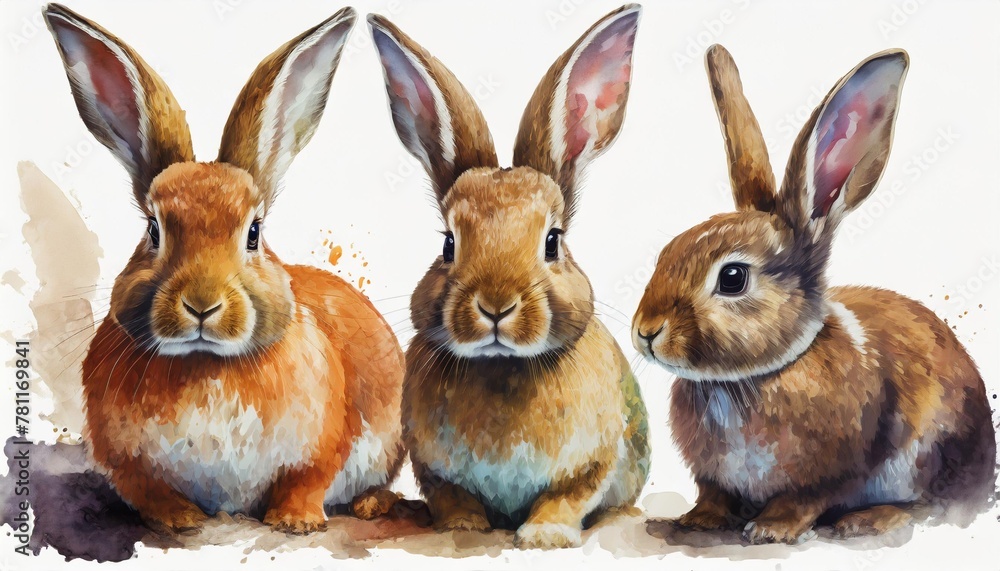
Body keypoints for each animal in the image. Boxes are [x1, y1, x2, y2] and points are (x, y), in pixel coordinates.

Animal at [44, 4, 406, 534]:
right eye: (154, 229)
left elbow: (308, 479)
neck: (207, 363)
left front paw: (295, 521)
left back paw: (371, 504)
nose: (201, 304)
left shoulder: (321, 448)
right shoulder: (127, 464)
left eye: (254, 232)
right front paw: (179, 519)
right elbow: (150, 492)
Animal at [367, 4, 650, 549]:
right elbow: (451, 495)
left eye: (552, 242)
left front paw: (544, 536)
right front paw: (464, 524)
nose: (495, 305)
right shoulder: (431, 465)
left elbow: (568, 495)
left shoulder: (594, 462)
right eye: (448, 244)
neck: (502, 367)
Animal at [632, 43, 996, 544]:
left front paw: (771, 529)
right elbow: (714, 495)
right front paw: (698, 520)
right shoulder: (713, 477)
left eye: (732, 278)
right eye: (666, 252)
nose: (646, 332)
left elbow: (805, 498)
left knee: (929, 506)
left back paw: (870, 519)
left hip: (932, 450)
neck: (743, 382)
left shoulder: (836, 468)